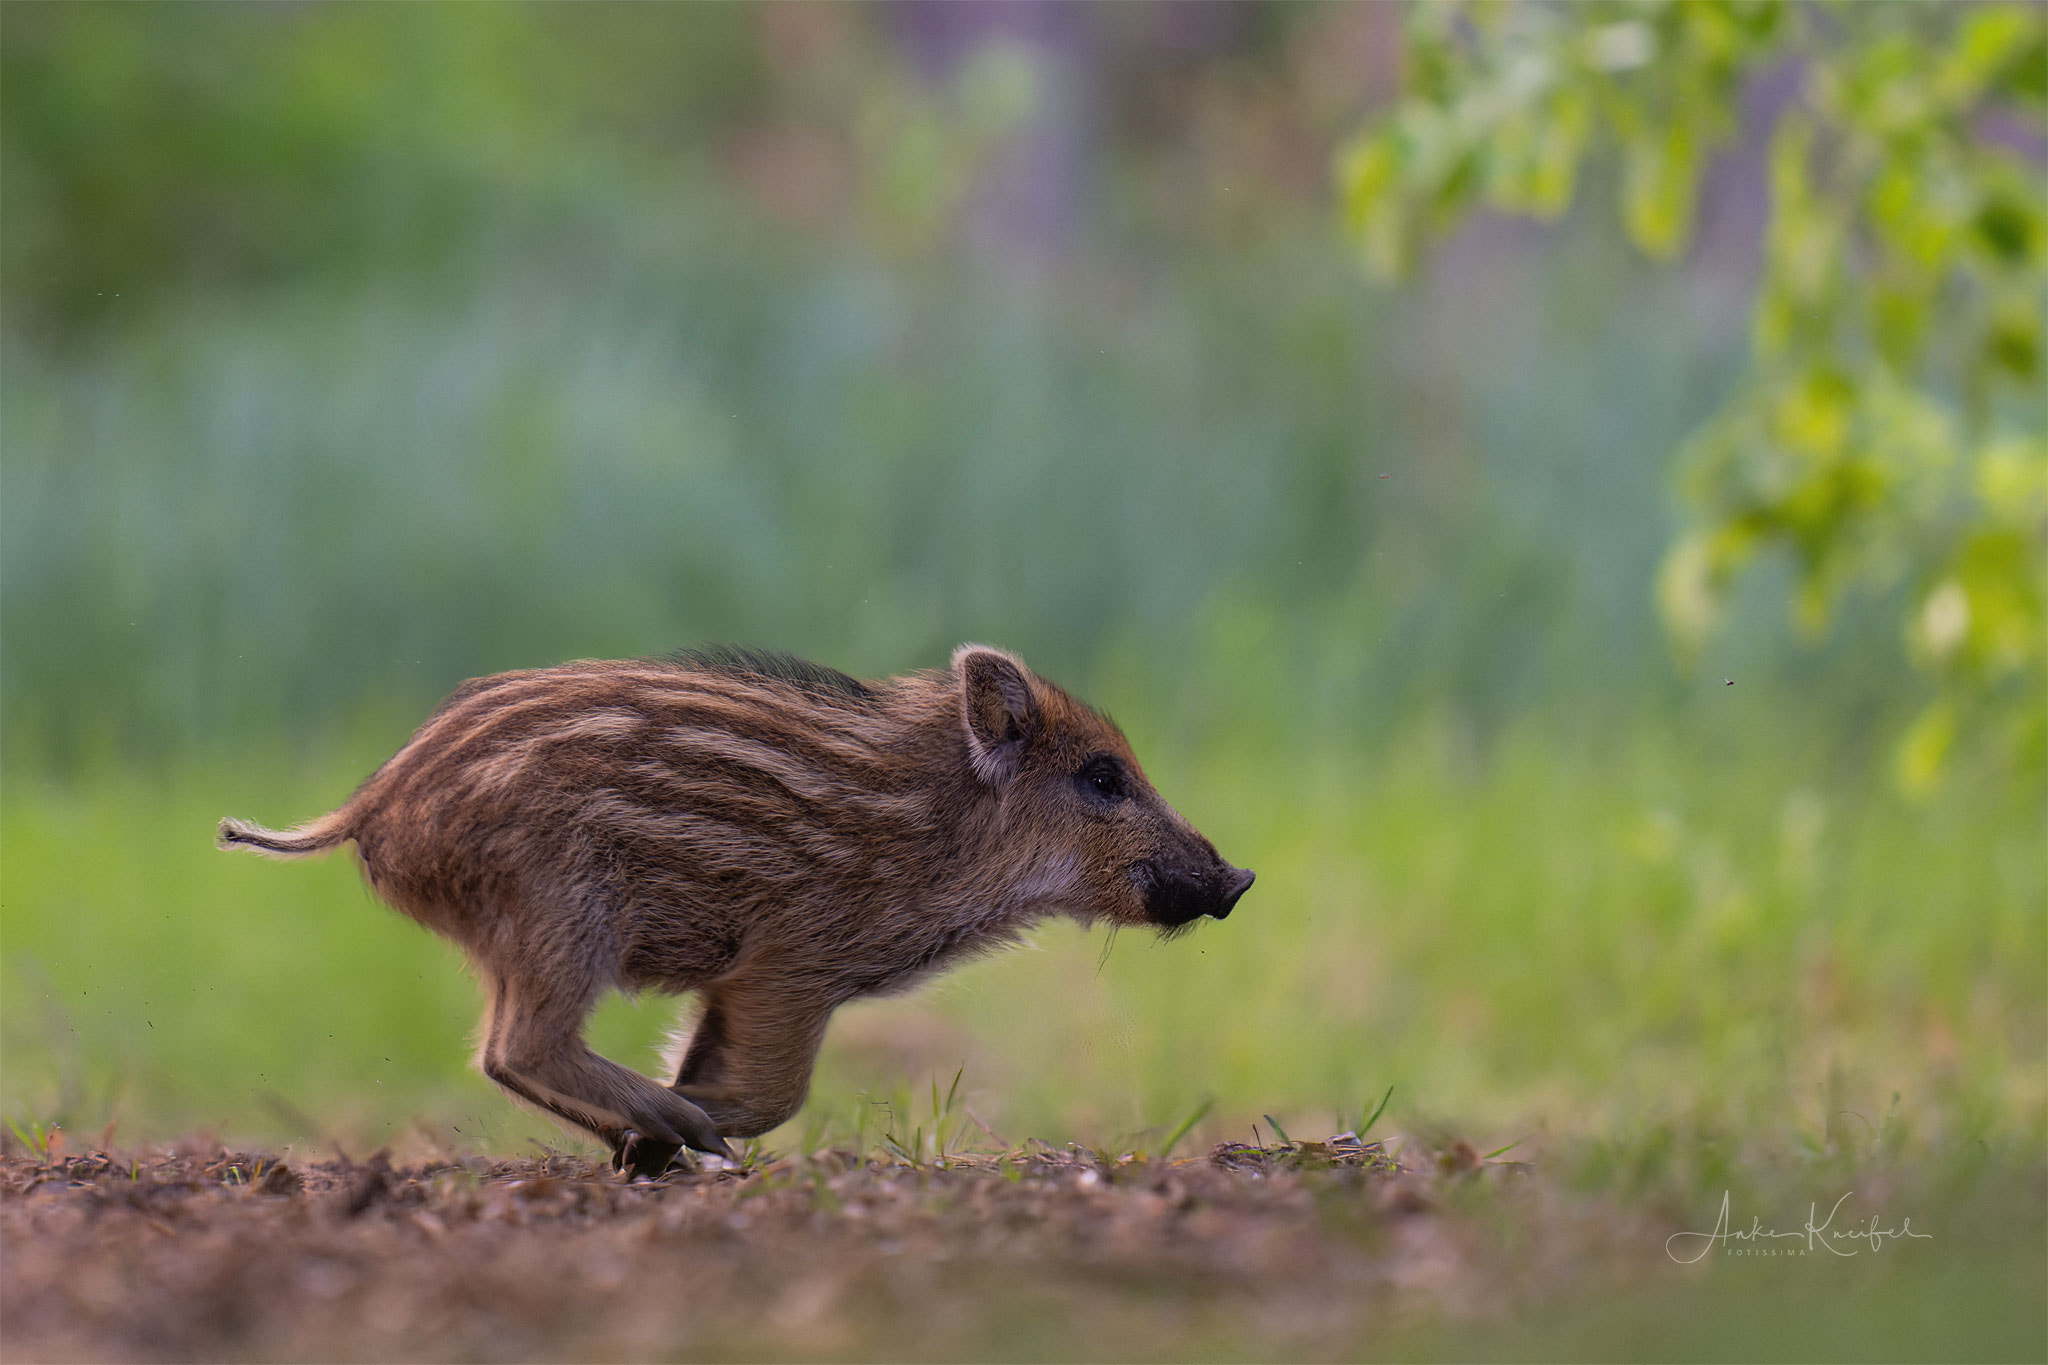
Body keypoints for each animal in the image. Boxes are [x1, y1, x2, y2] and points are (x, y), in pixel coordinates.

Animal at [219, 644, 1254, 1176]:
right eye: (1103, 777)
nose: (1239, 878)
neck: (934, 831)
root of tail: (369, 806)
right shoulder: (788, 966)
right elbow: (770, 1093)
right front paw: (692, 1128)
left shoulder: (739, 983)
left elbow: (716, 1061)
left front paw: (668, 1139)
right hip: (559, 912)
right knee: (517, 1045)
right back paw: (667, 1130)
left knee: (507, 1053)